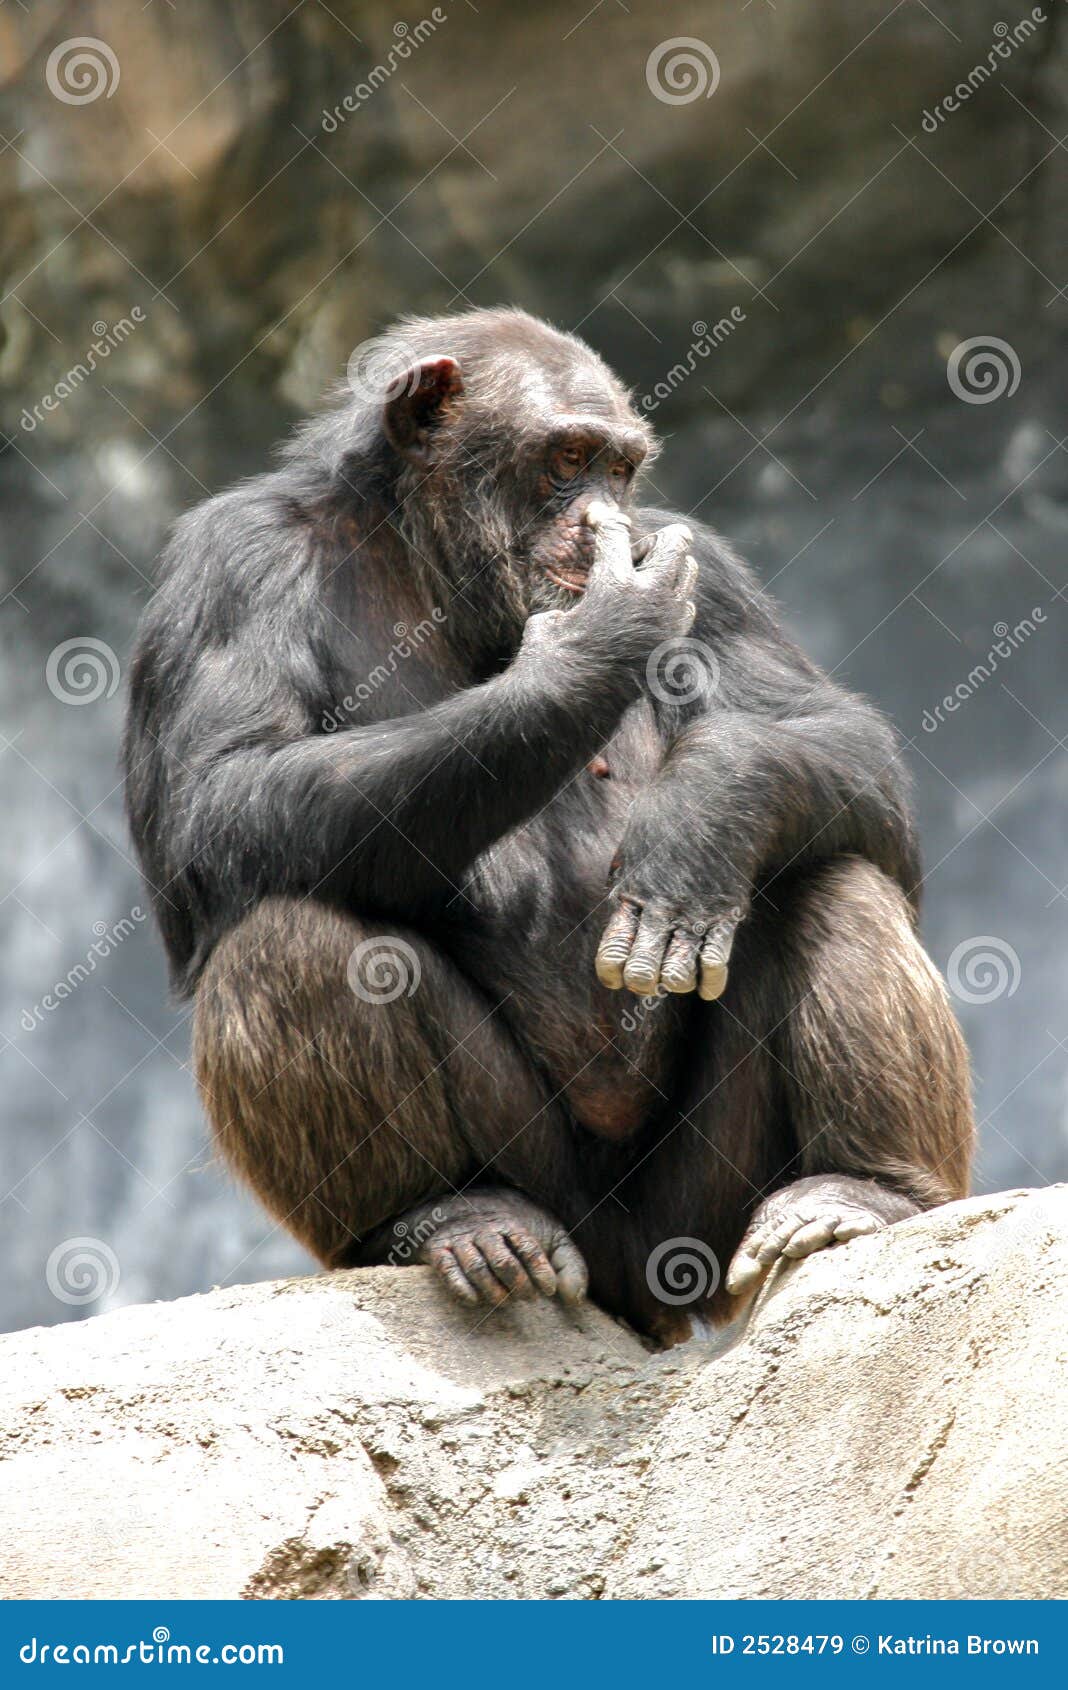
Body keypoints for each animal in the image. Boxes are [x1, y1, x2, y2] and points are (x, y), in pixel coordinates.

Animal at [123, 306, 974, 1343]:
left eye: (621, 470)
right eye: (567, 458)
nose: (598, 519)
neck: (432, 559)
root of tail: (635, 1290)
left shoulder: (711, 567)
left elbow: (837, 741)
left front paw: (704, 813)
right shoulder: (230, 564)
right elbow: (218, 797)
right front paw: (598, 644)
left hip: (700, 1208)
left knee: (830, 873)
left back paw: (862, 1191)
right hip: (546, 1186)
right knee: (287, 937)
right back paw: (450, 1216)